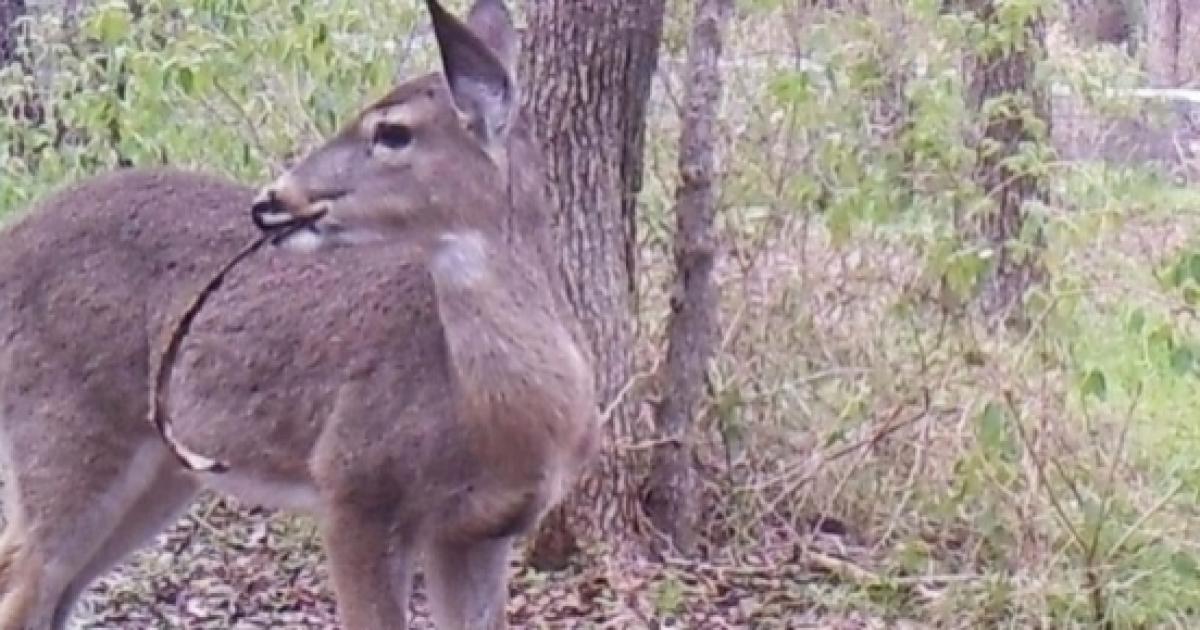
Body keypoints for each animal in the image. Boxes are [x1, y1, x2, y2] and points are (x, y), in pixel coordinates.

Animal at [0, 0, 598, 628]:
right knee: (22, 583)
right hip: (60, 426)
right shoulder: (354, 486)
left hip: (162, 468)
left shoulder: (479, 531)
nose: (272, 200)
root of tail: (10, 242)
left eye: (393, 132)